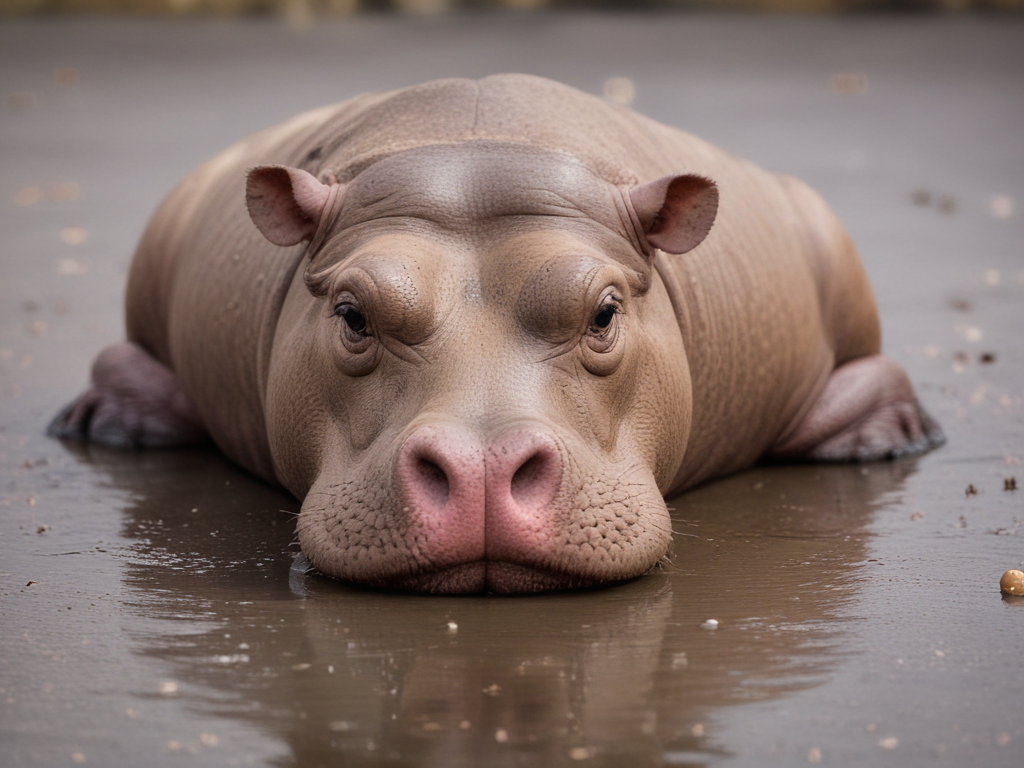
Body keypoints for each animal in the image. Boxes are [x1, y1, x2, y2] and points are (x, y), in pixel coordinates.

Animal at [49, 74, 943, 594]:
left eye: (604, 312)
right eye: (352, 314)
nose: (480, 472)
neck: (480, 146)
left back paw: (881, 443)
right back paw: (115, 427)